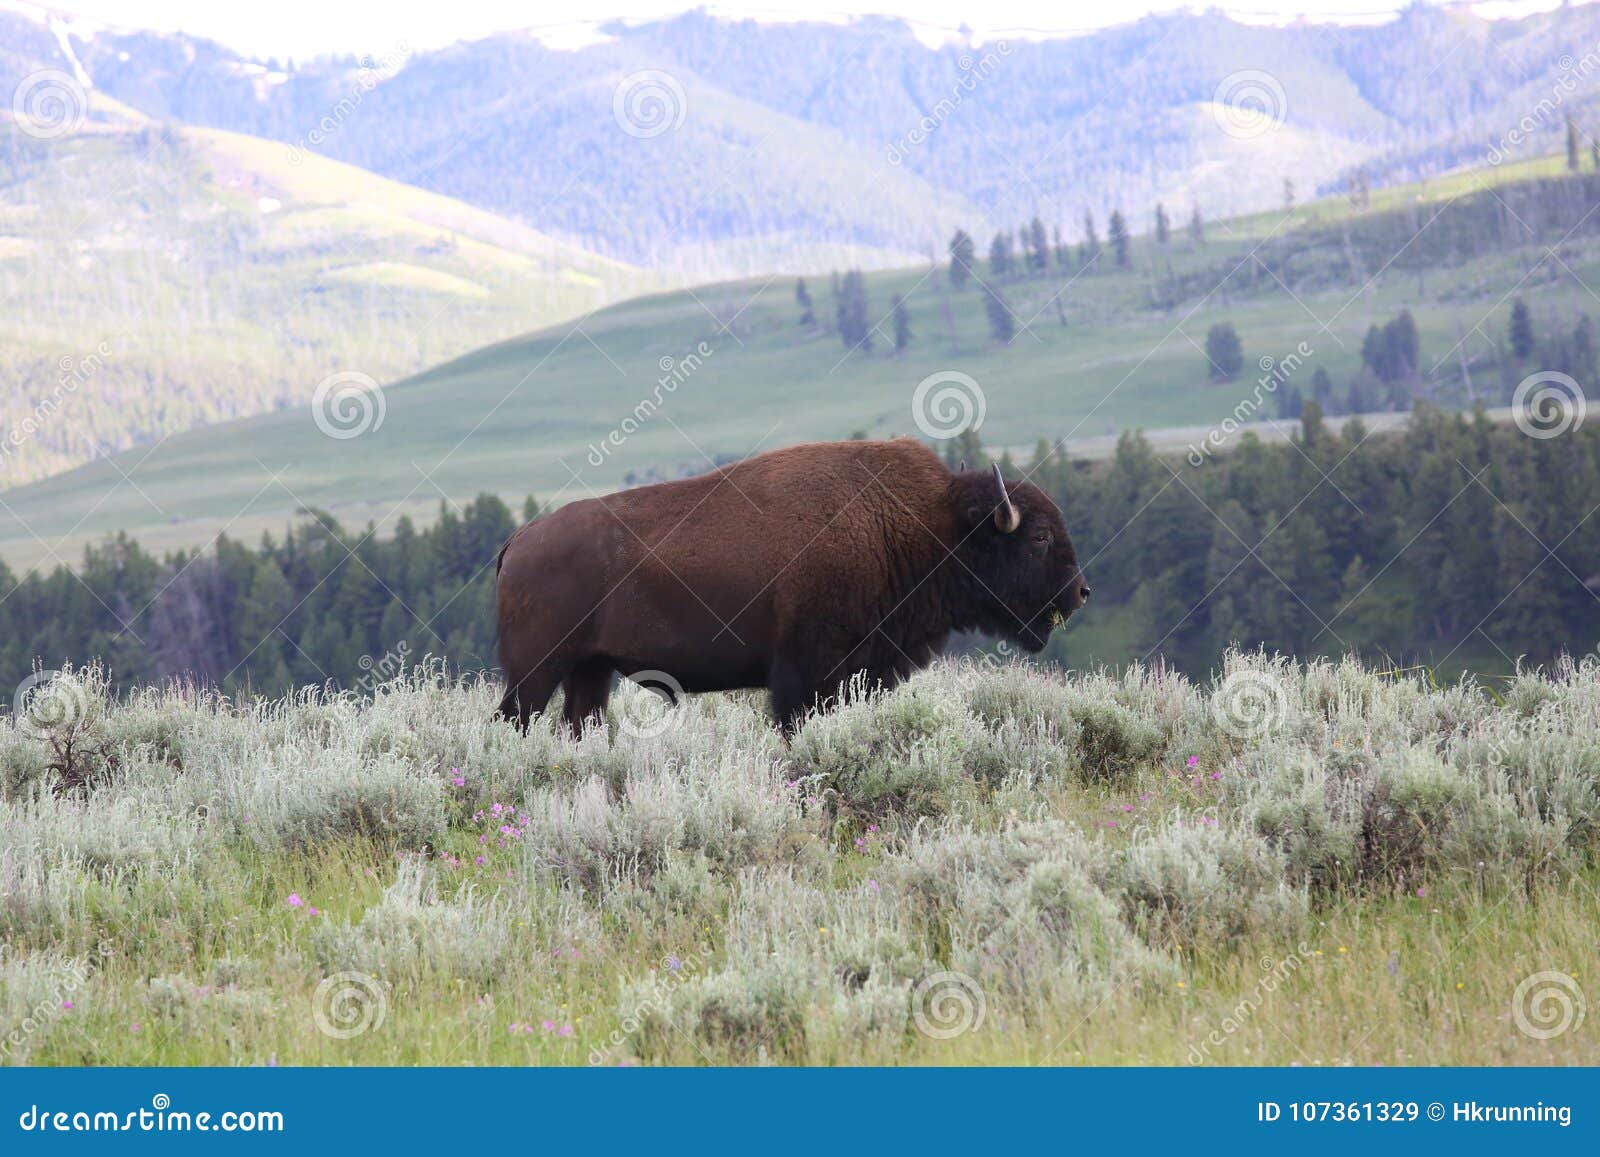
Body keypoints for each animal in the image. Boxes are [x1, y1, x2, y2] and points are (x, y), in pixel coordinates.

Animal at [495, 437, 1089, 735]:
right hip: (536, 672)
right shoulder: (806, 676)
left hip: (589, 671)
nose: (1081, 592)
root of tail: (519, 539)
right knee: (513, 721)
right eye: (1038, 536)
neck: (922, 524)